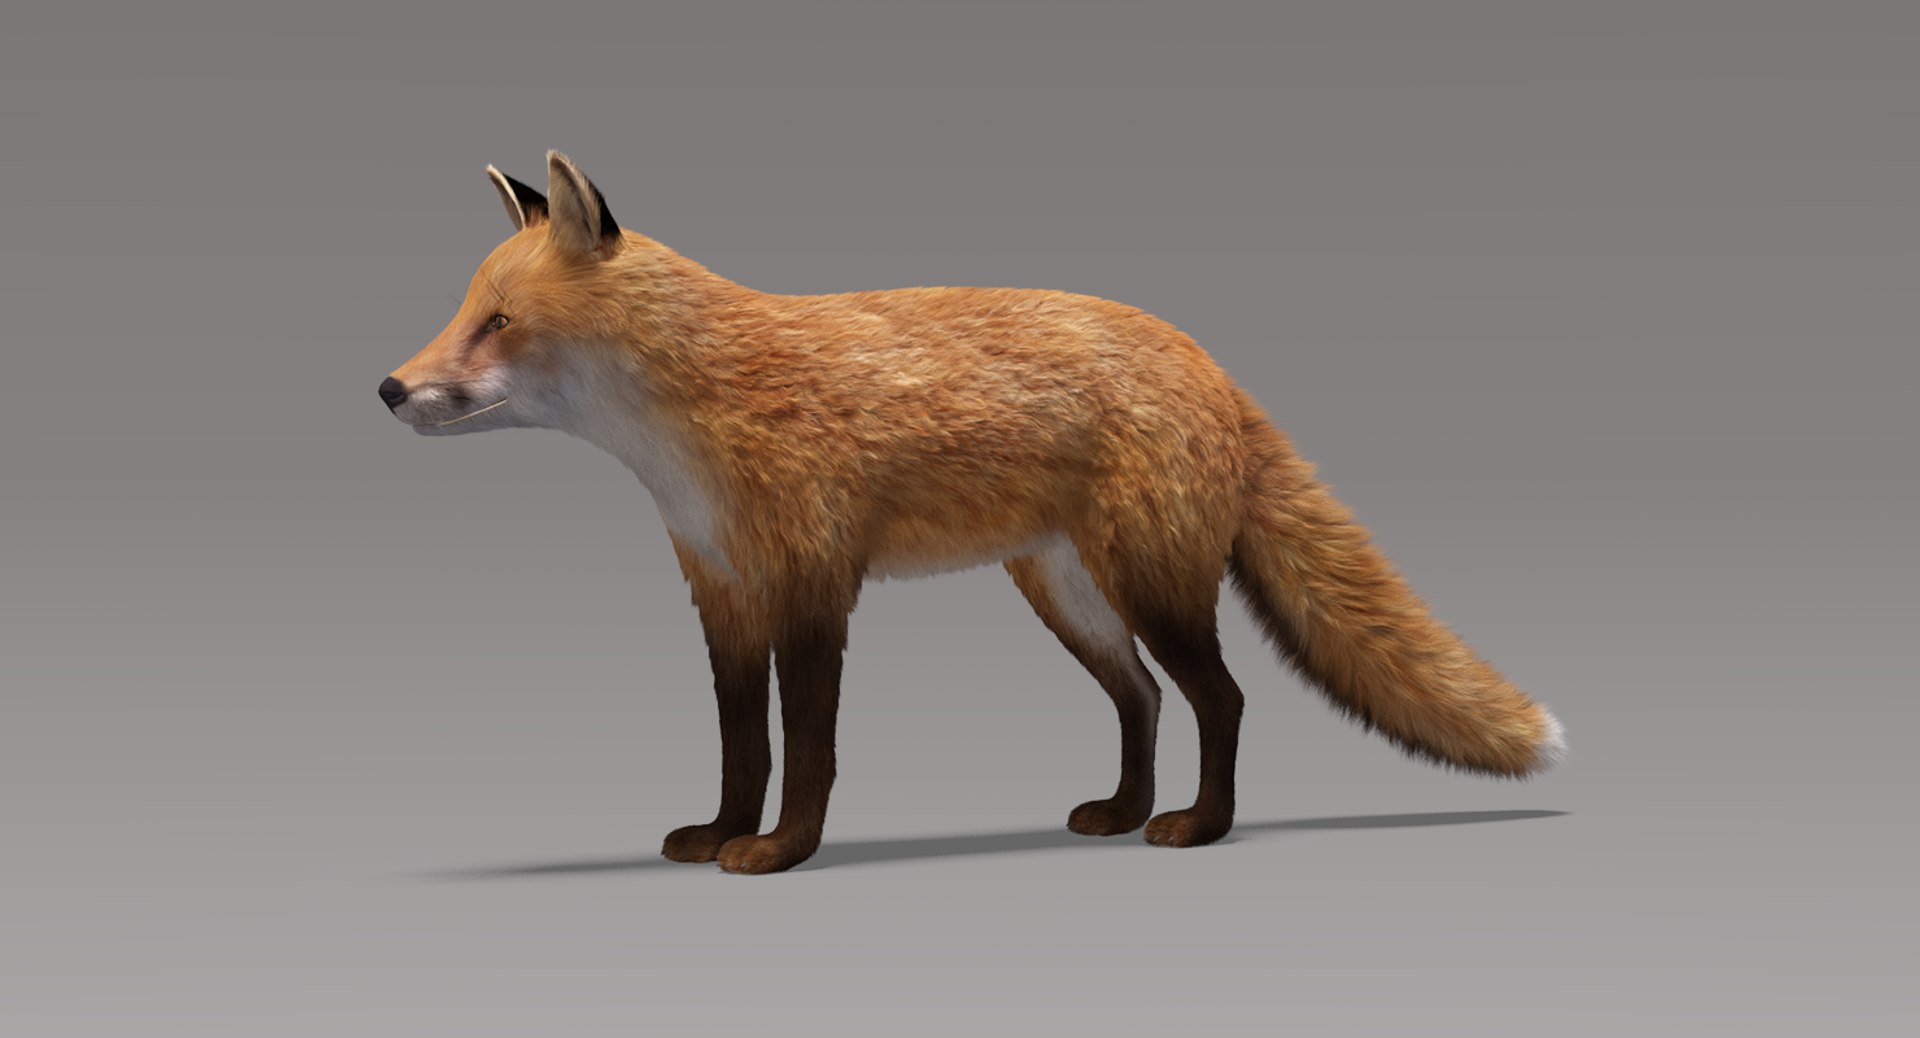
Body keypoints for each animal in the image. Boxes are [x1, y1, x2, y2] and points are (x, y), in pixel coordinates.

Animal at [379, 150, 1565, 874]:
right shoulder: (722, 591)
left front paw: (781, 851)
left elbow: (806, 749)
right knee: (1143, 698)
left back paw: (1195, 826)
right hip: (1068, 594)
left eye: (497, 323)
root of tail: (1209, 362)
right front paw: (721, 832)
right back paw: (1121, 810)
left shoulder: (813, 587)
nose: (389, 389)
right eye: (463, 312)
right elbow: (739, 746)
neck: (696, 428)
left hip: (1151, 584)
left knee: (1220, 699)